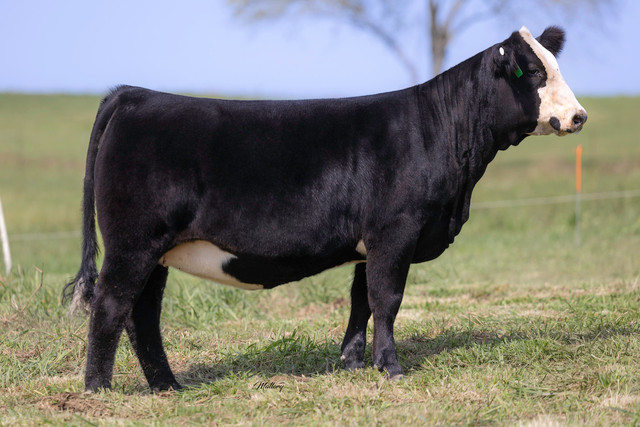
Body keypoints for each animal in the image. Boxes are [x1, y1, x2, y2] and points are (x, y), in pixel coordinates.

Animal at [65, 26, 586, 393]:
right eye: (534, 73)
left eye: (556, 66)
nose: (579, 116)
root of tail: (134, 94)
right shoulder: (395, 230)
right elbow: (387, 299)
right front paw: (391, 368)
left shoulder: (368, 242)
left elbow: (361, 301)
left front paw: (352, 363)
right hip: (133, 243)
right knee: (111, 306)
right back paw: (99, 390)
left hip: (157, 251)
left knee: (142, 314)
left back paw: (167, 387)